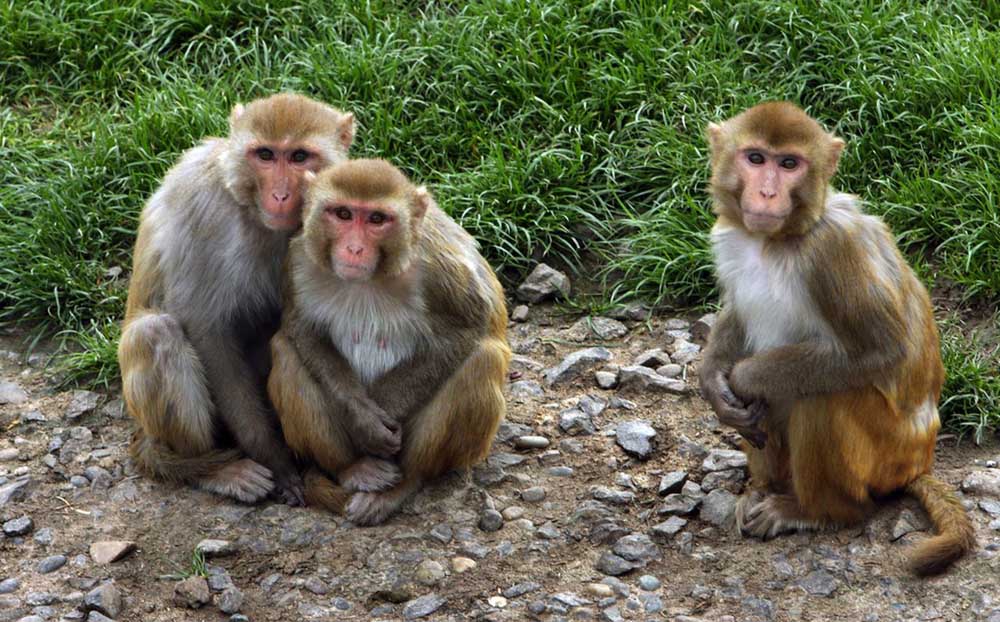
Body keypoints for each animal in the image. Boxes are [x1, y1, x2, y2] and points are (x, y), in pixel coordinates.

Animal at [118, 93, 355, 505]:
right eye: (265, 155)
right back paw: (209, 468)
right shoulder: (202, 209)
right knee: (154, 332)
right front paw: (274, 458)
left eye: (299, 156)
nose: (280, 194)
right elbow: (205, 327)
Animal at [266, 158, 510, 526]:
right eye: (342, 214)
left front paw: (382, 417)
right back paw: (354, 469)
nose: (354, 248)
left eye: (377, 219)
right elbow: (301, 328)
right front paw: (363, 421)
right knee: (284, 351)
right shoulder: (298, 257)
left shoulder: (438, 267)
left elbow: (465, 328)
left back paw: (406, 482)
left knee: (484, 359)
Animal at [698, 101, 975, 575]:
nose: (767, 193)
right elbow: (736, 311)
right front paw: (714, 380)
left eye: (789, 164)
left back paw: (818, 512)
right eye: (756, 158)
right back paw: (764, 488)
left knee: (824, 395)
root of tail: (919, 462)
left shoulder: (834, 249)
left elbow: (883, 351)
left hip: (885, 458)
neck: (778, 240)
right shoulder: (728, 236)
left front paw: (745, 378)